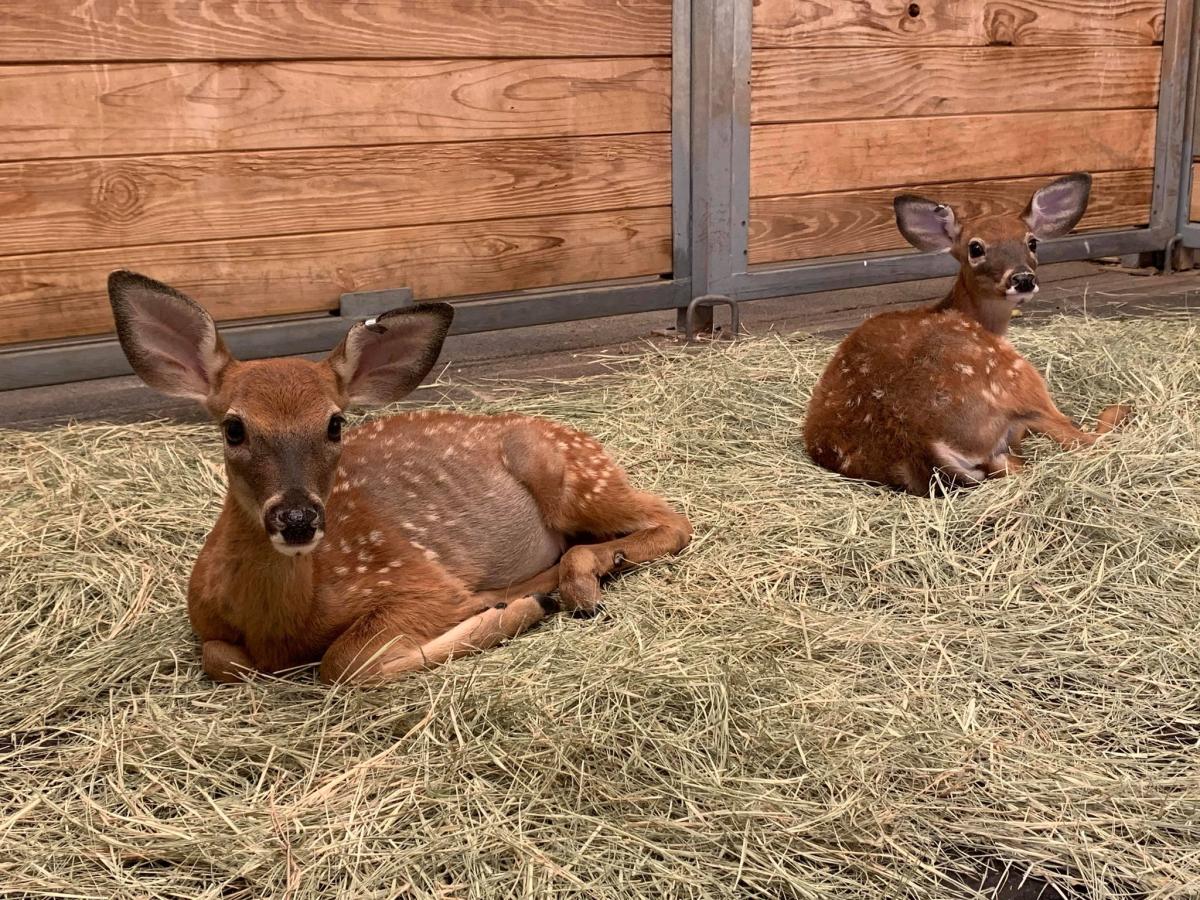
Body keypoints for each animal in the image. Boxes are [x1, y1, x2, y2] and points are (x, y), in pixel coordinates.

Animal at [106, 271, 692, 685]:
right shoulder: (207, 625)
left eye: (335, 423)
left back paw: (574, 583)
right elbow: (224, 659)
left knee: (672, 518)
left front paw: (510, 610)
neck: (282, 626)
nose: (297, 518)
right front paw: (509, 605)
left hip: (573, 475)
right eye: (233, 428)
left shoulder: (413, 579)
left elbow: (341, 663)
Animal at [804, 173, 1132, 496]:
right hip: (1017, 376)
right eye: (976, 248)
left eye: (1032, 242)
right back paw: (1119, 410)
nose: (1023, 278)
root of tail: (923, 444)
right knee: (1082, 439)